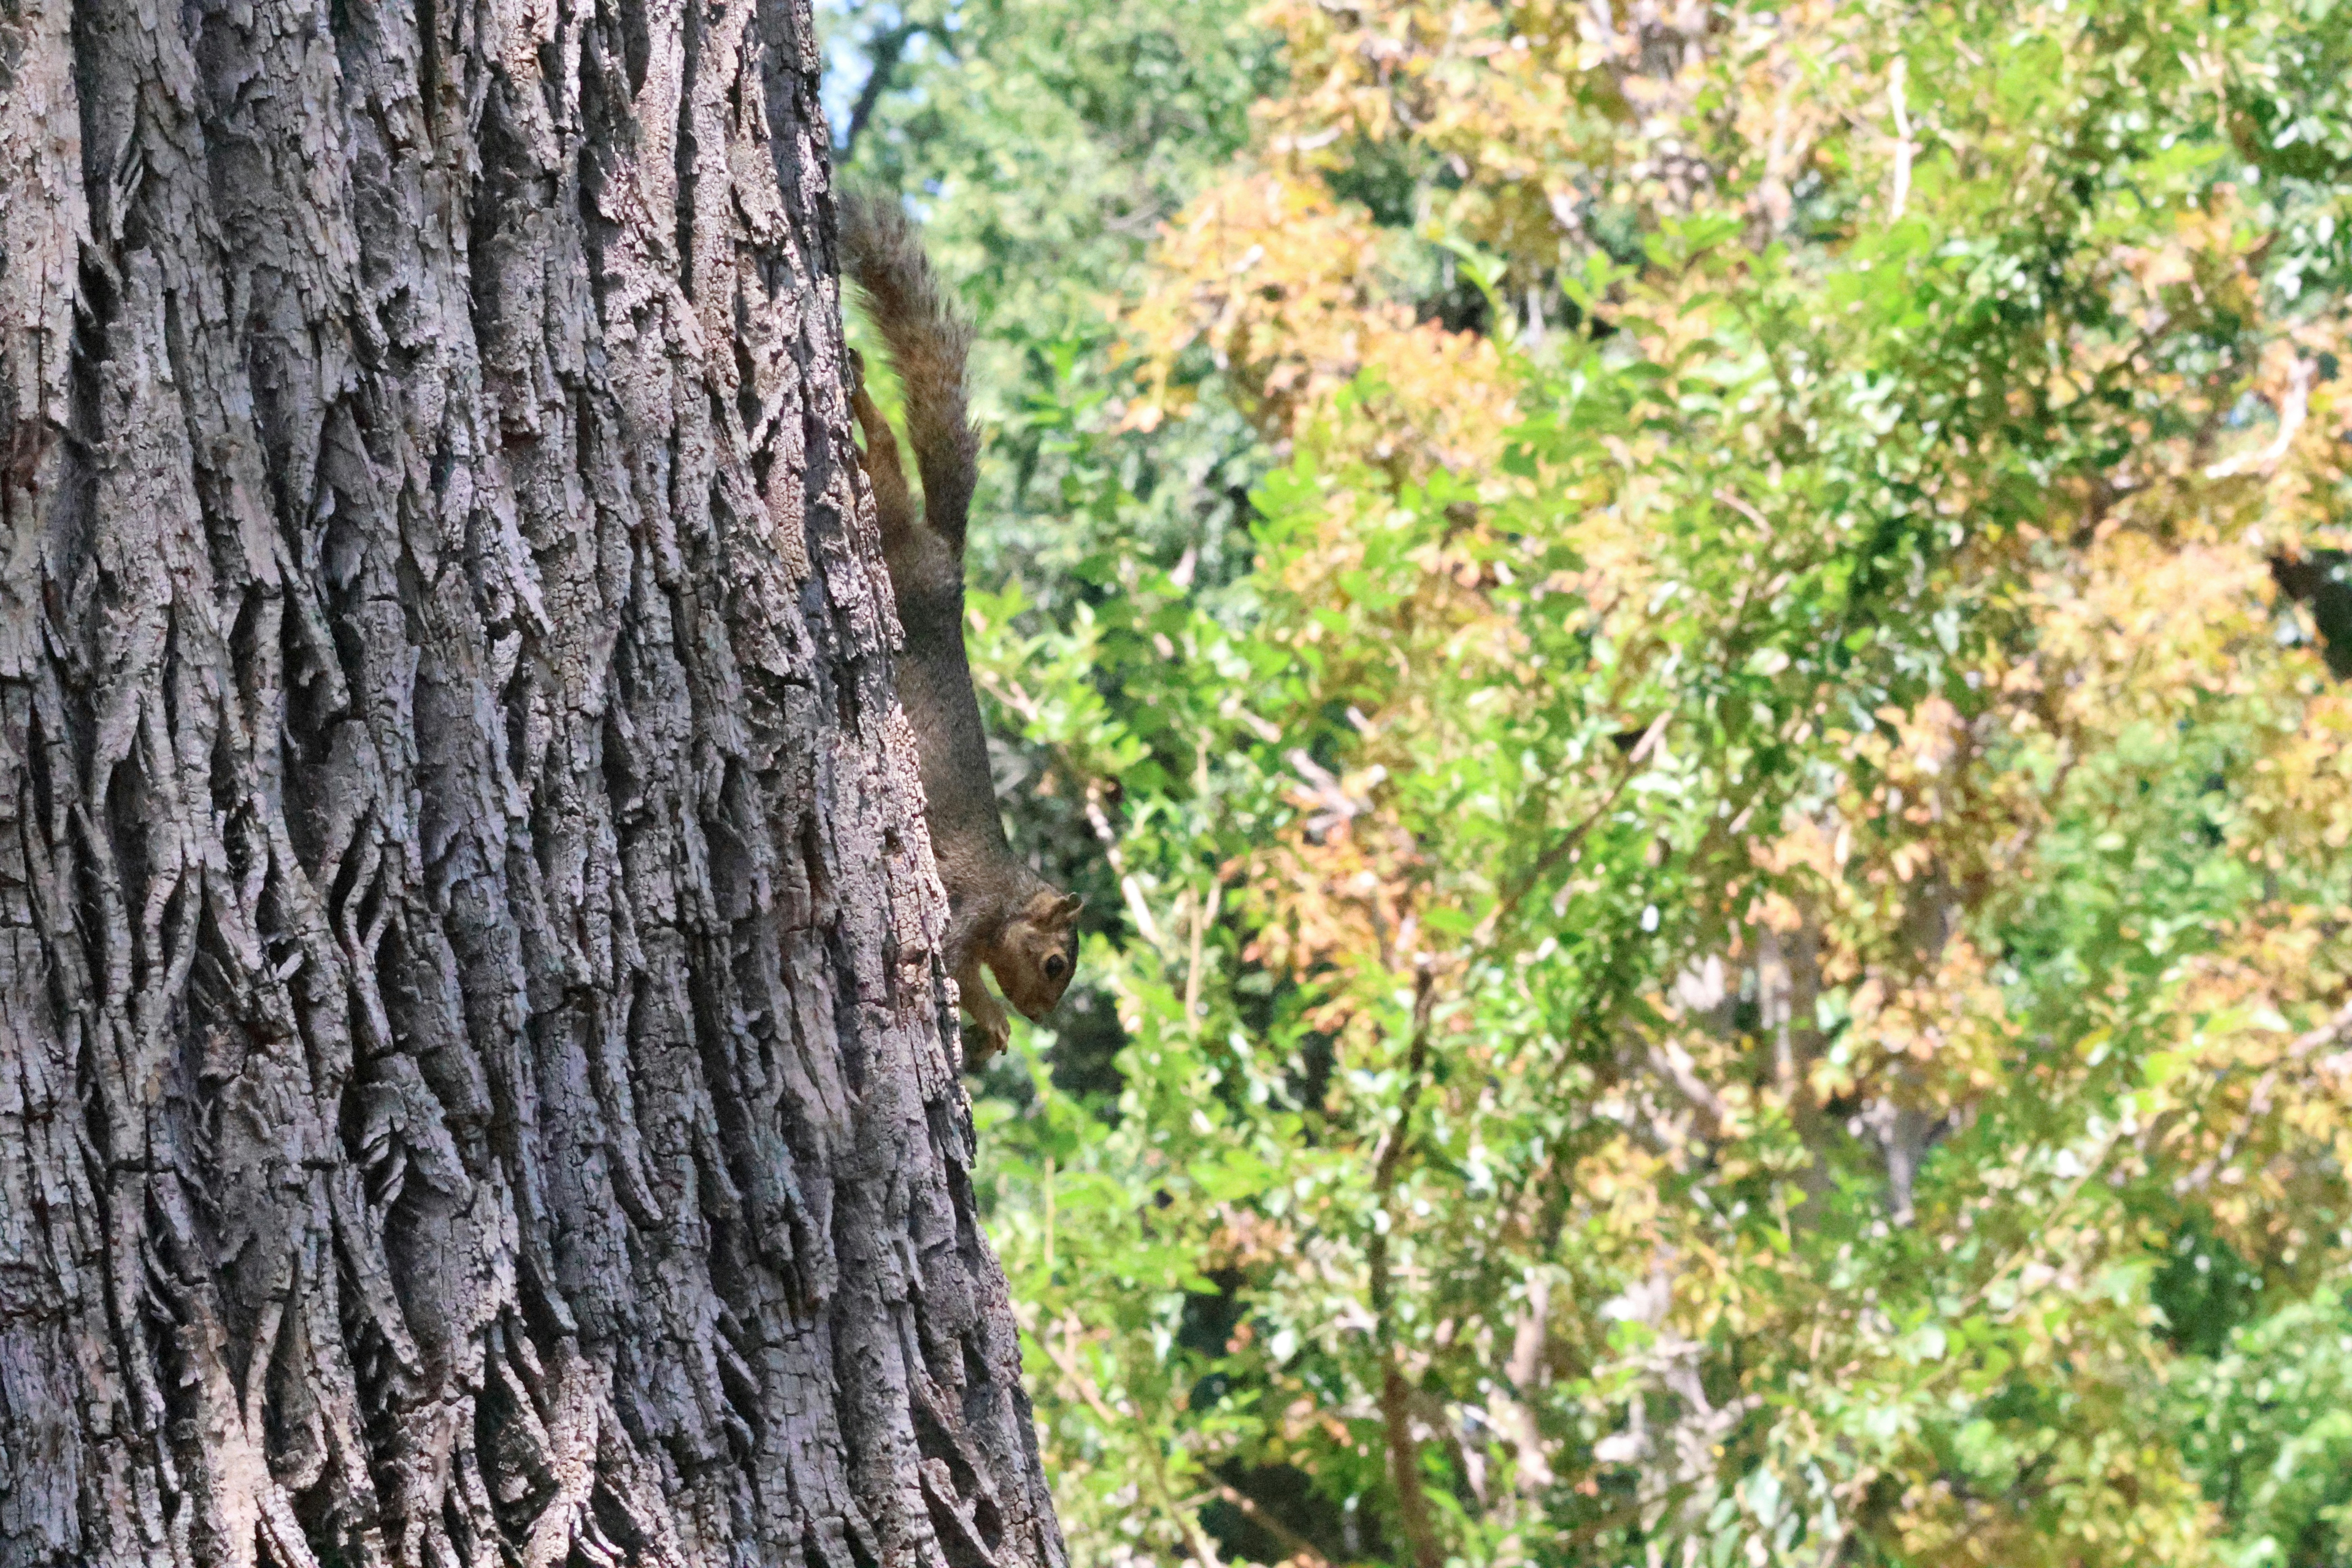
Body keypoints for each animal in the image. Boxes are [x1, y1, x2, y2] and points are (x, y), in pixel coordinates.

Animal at [839, 192, 1083, 1069]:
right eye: (1056, 962)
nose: (1045, 1014)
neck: (1010, 895)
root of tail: (950, 568)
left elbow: (971, 976)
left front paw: (994, 1030)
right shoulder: (969, 911)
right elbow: (950, 960)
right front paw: (992, 1020)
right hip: (897, 553)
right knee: (885, 465)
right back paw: (857, 401)